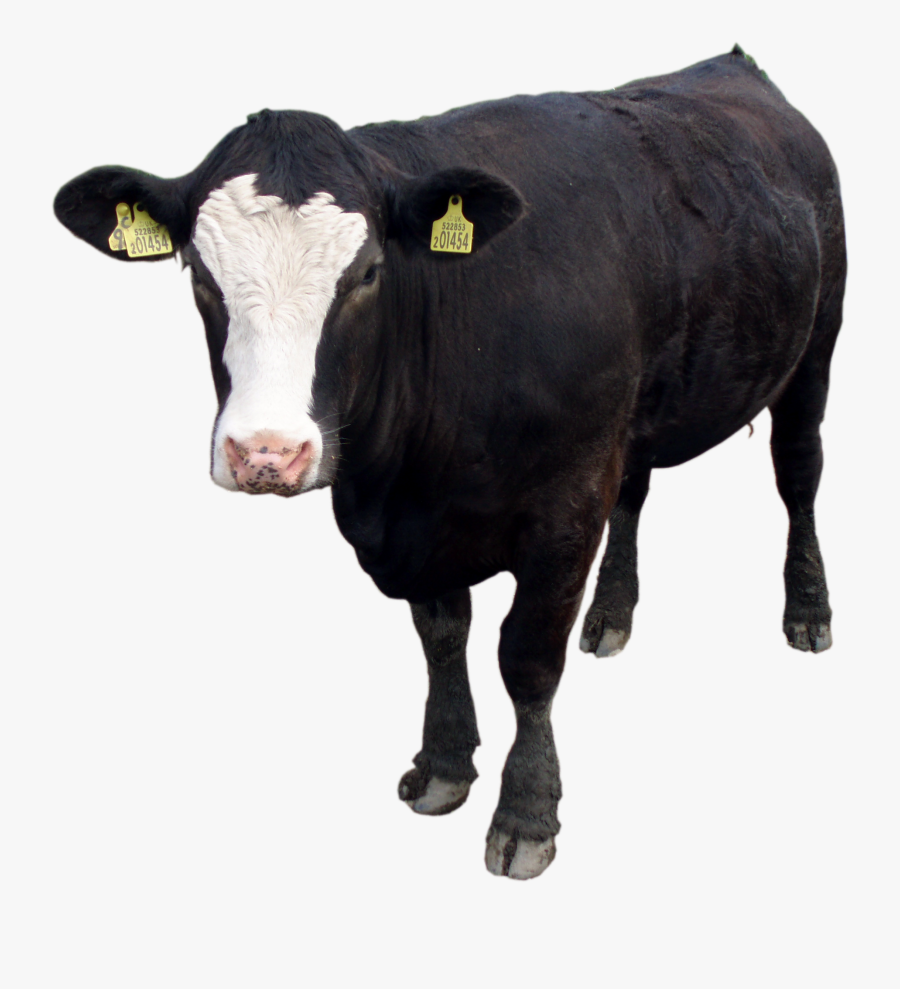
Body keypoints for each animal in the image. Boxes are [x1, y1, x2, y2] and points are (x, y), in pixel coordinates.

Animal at [54, 46, 846, 879]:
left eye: (369, 272)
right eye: (200, 276)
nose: (266, 451)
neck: (403, 479)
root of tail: (731, 65)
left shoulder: (565, 505)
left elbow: (525, 658)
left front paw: (526, 813)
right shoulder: (424, 524)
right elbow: (442, 636)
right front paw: (443, 765)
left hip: (817, 343)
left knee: (799, 474)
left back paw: (807, 610)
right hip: (643, 411)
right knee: (636, 489)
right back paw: (611, 613)